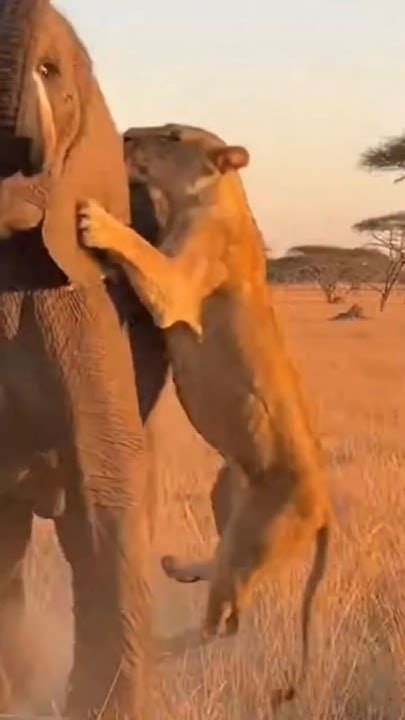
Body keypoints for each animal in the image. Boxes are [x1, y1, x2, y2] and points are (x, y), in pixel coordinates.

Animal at [78, 123, 331, 706]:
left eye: (172, 135)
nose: (129, 135)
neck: (216, 196)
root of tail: (326, 507)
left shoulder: (175, 287)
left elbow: (141, 250)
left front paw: (99, 220)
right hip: (225, 492)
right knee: (220, 579)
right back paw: (177, 568)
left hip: (251, 540)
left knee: (227, 623)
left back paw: (159, 645)